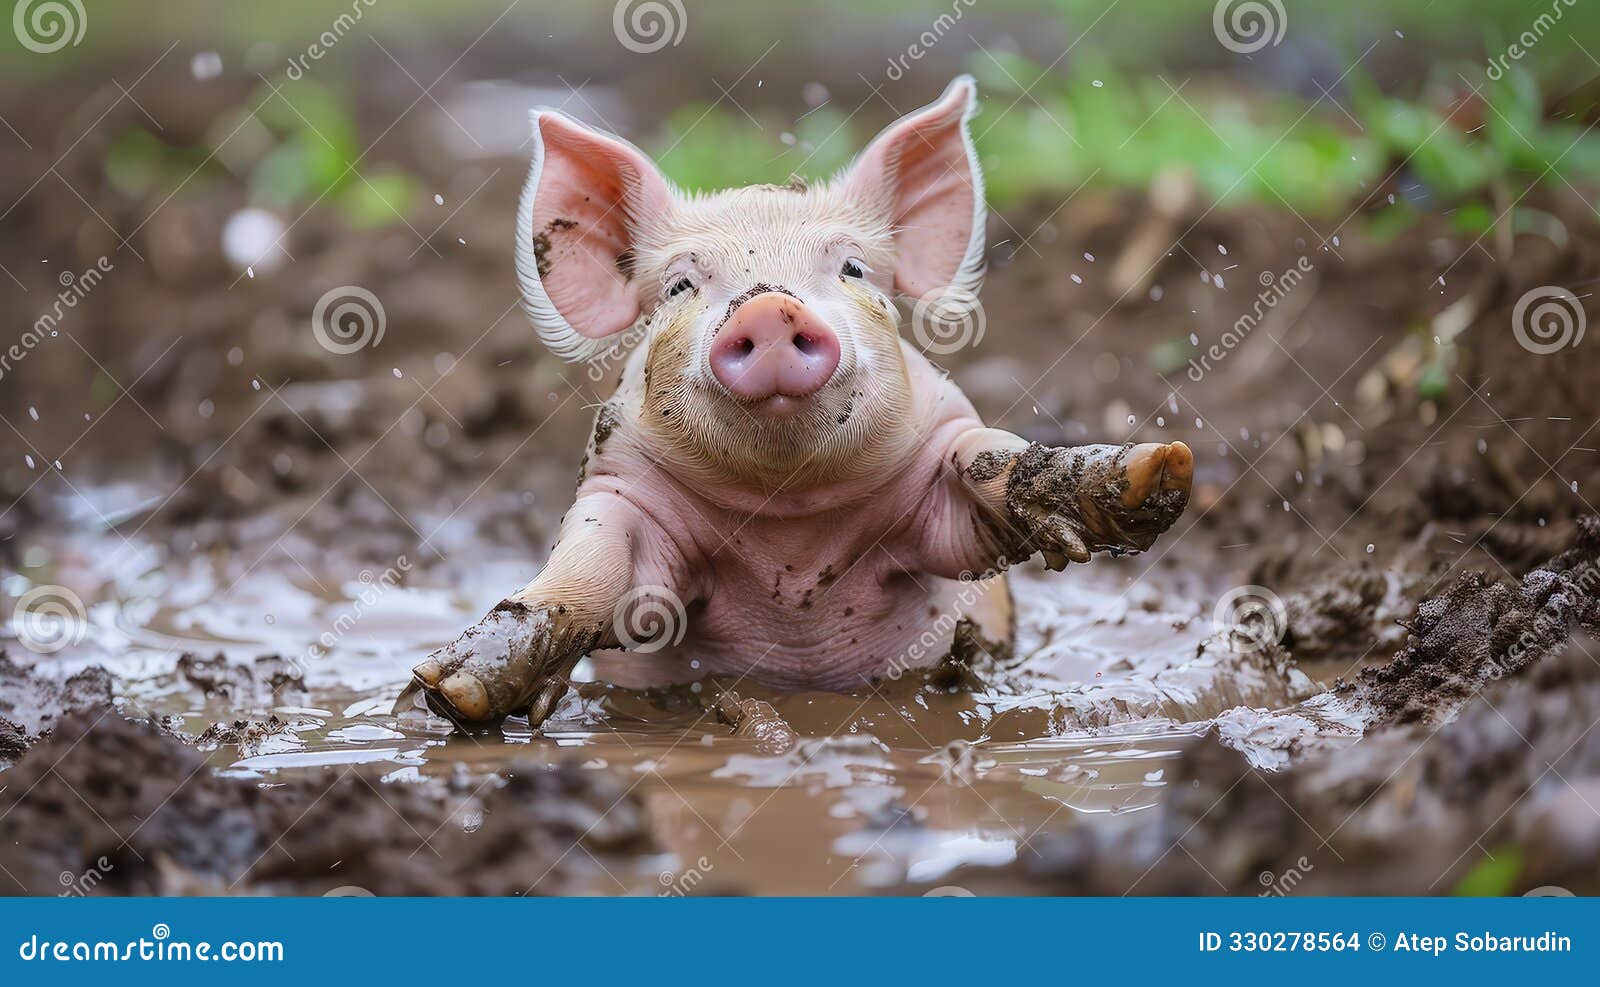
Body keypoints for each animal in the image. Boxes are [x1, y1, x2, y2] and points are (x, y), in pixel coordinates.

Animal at [398, 76, 1192, 728]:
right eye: (680, 285)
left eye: (852, 269)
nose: (770, 307)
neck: (790, 536)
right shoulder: (624, 490)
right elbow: (593, 565)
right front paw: (449, 691)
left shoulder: (943, 456)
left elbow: (988, 464)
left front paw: (1157, 469)